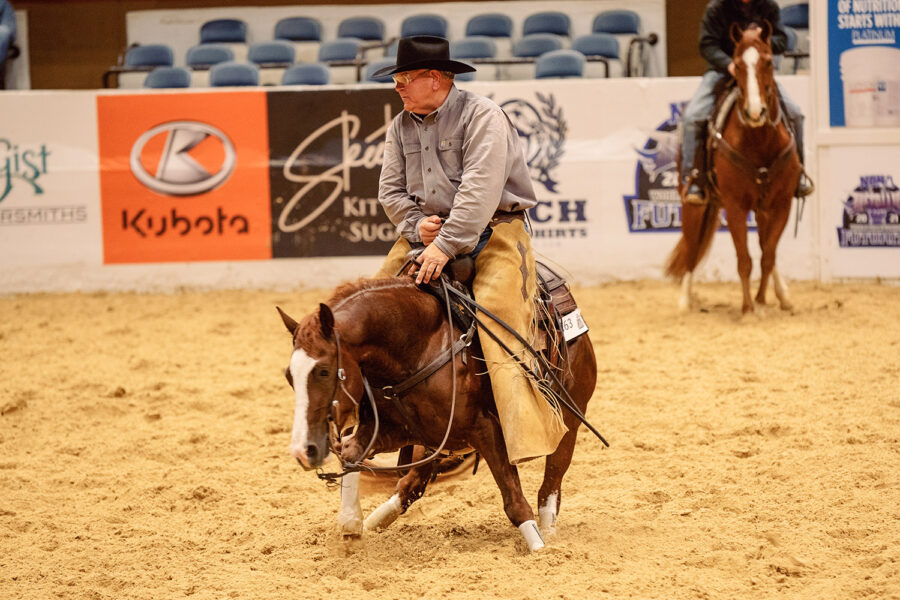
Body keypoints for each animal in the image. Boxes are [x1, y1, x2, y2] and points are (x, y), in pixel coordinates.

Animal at [276, 273, 598, 552]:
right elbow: (351, 453)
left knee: (551, 483)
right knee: (410, 484)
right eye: (289, 375)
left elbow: (513, 498)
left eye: (323, 370)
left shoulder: (486, 429)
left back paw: (548, 532)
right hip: (435, 443)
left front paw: (539, 549)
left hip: (569, 421)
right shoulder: (393, 431)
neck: (418, 347)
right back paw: (375, 521)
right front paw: (351, 524)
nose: (303, 450)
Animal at [666, 23, 802, 314]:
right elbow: (744, 260)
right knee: (691, 248)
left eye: (768, 61)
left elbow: (768, 255)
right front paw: (749, 307)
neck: (760, 142)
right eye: (737, 65)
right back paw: (684, 299)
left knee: (766, 248)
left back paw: (783, 295)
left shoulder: (781, 205)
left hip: (761, 211)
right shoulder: (736, 206)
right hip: (694, 205)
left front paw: (761, 299)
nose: (755, 112)